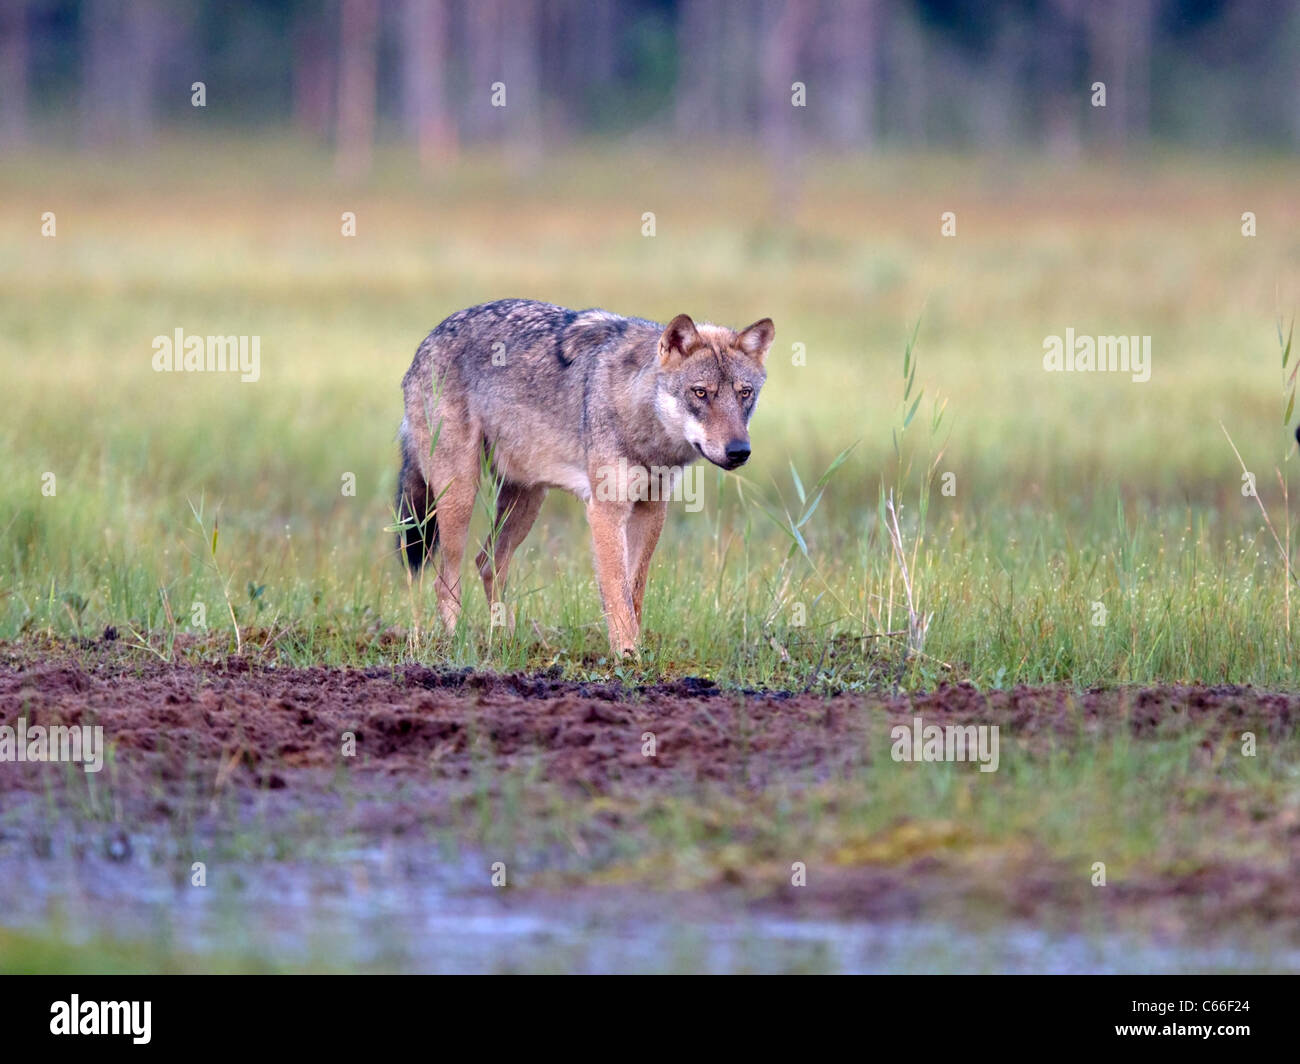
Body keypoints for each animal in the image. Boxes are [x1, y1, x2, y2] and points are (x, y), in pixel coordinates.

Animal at [396, 299, 773, 655]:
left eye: (744, 393)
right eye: (700, 392)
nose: (739, 451)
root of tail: (427, 341)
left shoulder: (652, 509)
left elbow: (634, 589)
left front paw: (636, 648)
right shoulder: (605, 511)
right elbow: (617, 591)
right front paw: (627, 653)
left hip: (526, 502)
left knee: (487, 563)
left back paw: (507, 641)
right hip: (460, 496)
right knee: (445, 579)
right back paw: (455, 641)